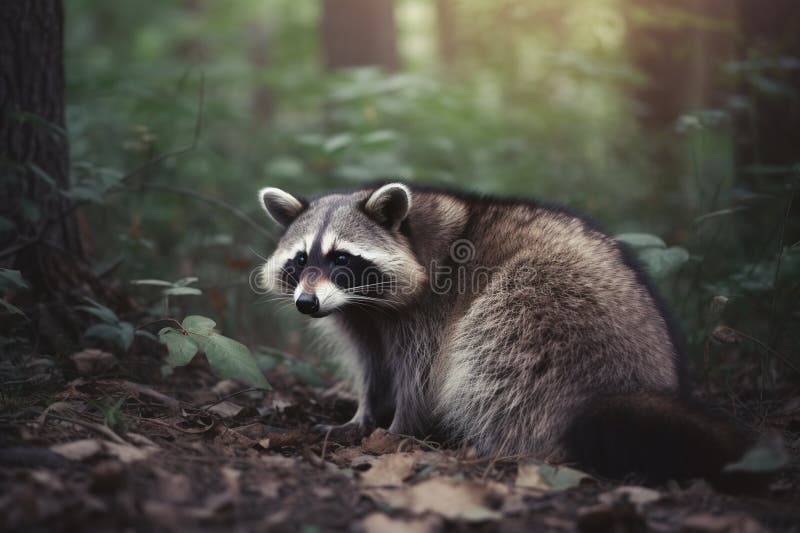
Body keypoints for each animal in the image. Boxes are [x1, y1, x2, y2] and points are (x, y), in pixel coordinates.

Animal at [257, 182, 744, 484]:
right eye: (301, 260)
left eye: (341, 258)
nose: (307, 303)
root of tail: (637, 381)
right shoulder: (359, 318)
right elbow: (372, 365)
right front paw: (363, 414)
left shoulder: (431, 306)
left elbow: (421, 372)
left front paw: (398, 428)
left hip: (555, 308)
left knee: (495, 346)